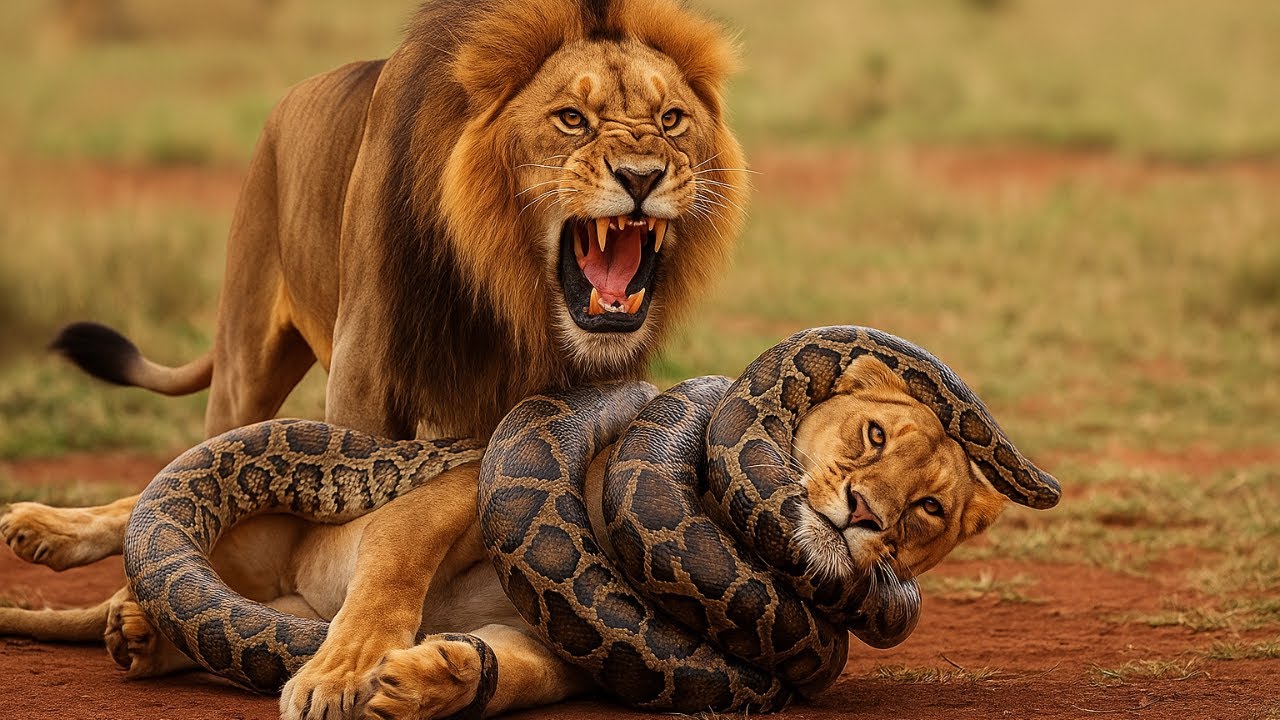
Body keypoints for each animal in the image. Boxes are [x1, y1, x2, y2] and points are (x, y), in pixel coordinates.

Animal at [1, 0, 745, 712]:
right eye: (571, 120)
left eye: (672, 120)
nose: (643, 176)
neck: (499, 286)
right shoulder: (371, 394)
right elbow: (389, 560)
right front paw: (338, 673)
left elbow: (510, 658)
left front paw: (432, 676)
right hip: (243, 366)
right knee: (180, 471)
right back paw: (47, 532)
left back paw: (128, 618)